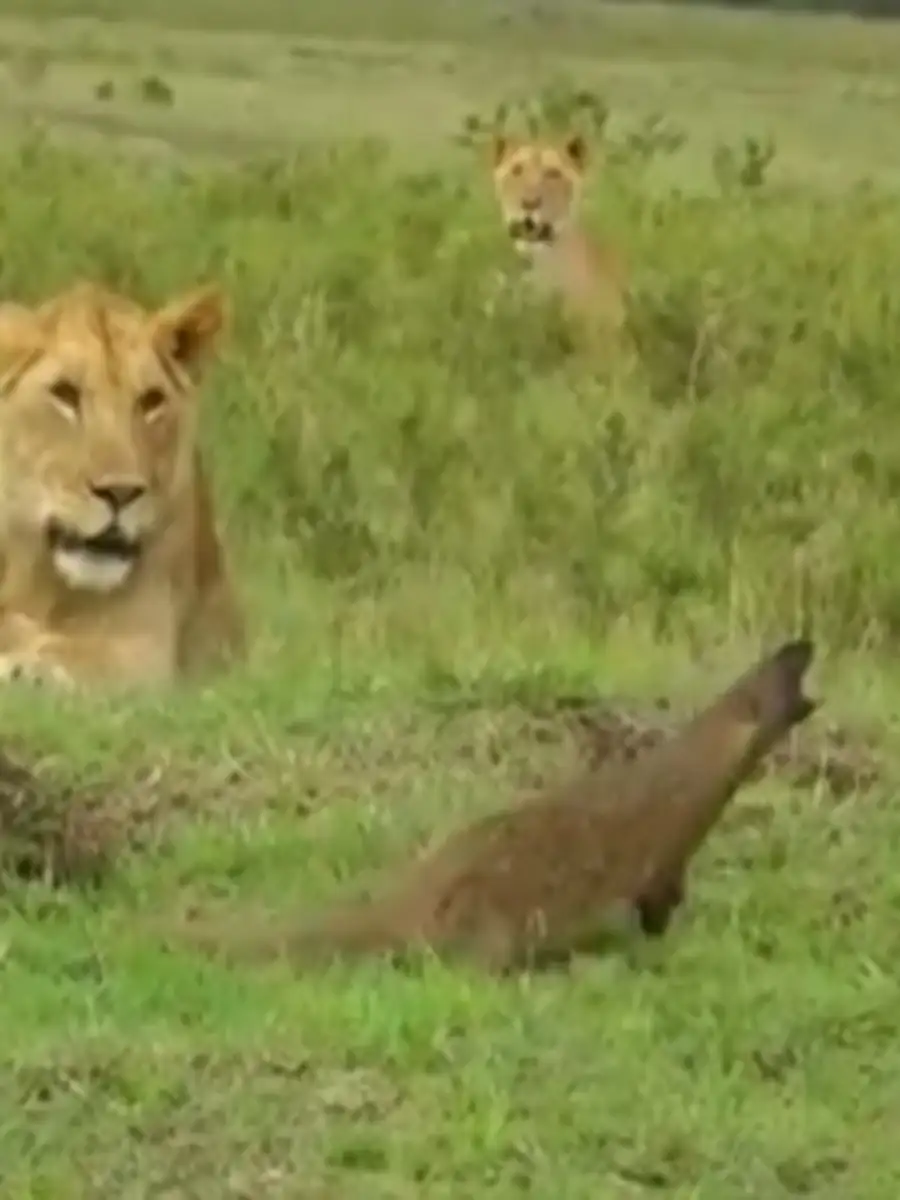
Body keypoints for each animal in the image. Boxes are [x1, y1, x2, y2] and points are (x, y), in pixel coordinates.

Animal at [0, 280, 245, 690]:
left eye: (151, 401)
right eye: (65, 394)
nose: (120, 493)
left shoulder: (146, 648)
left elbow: (74, 657)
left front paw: (25, 664)